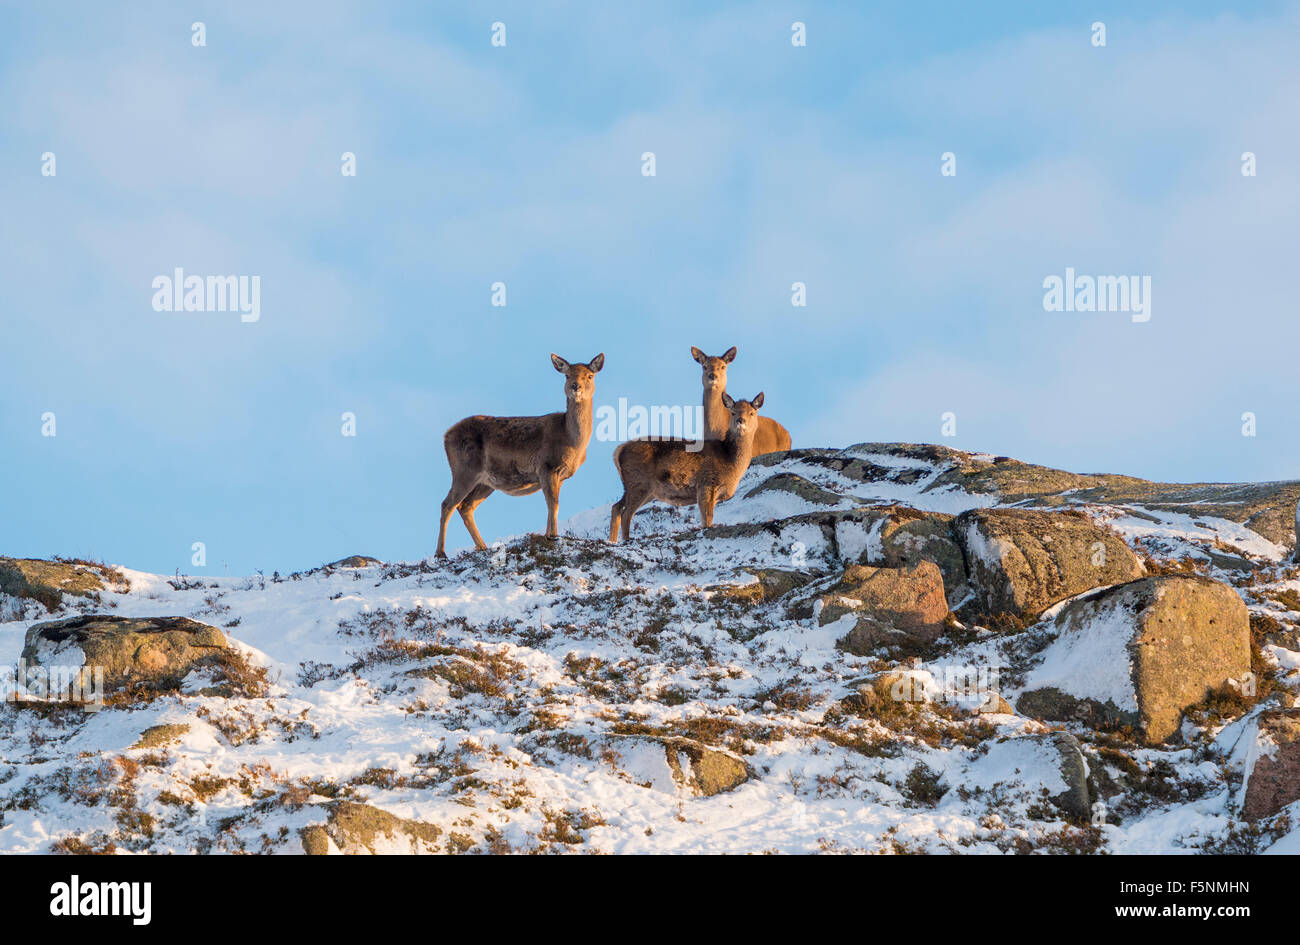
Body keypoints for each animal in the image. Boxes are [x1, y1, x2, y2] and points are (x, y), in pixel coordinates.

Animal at [436, 353, 605, 559]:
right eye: (567, 375)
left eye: (590, 376)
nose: (575, 386)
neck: (571, 440)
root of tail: (446, 435)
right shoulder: (546, 465)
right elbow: (553, 503)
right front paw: (552, 535)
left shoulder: (560, 474)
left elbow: (553, 502)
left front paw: (549, 534)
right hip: (464, 469)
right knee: (447, 504)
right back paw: (441, 553)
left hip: (486, 481)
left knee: (466, 506)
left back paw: (482, 547)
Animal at [609, 391, 764, 542]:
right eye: (733, 412)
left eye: (752, 413)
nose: (740, 421)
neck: (729, 460)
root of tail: (618, 452)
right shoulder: (706, 483)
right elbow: (707, 519)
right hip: (639, 482)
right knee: (626, 512)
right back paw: (626, 540)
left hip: (640, 488)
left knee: (616, 507)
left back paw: (613, 541)